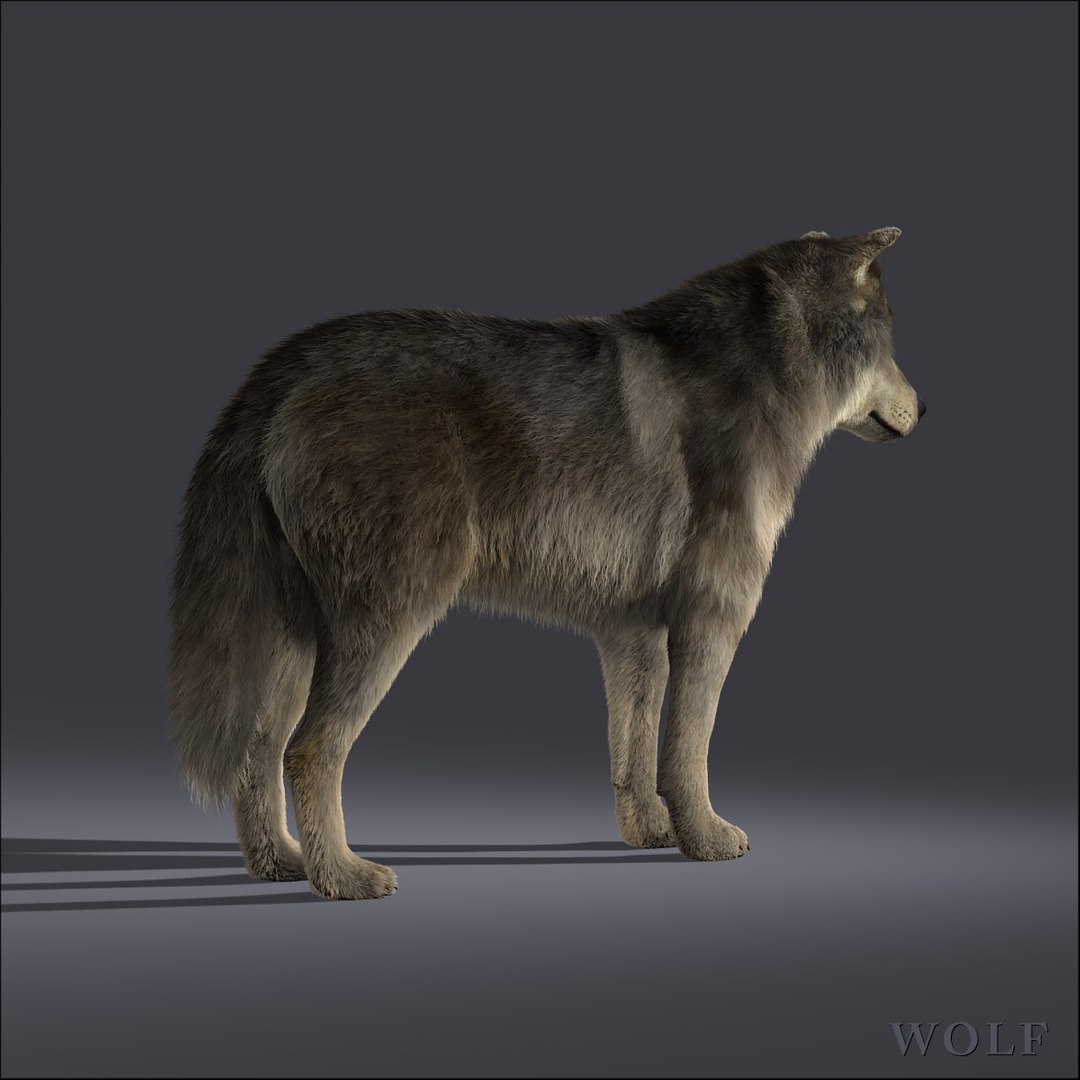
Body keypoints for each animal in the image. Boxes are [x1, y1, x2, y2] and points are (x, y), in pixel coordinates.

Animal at [169, 228, 924, 900]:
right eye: (889, 338)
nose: (925, 406)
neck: (758, 372)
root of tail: (288, 364)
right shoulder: (711, 616)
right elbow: (689, 747)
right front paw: (706, 837)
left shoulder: (632, 634)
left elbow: (633, 748)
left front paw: (650, 830)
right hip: (384, 621)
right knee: (310, 749)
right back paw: (344, 879)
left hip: (292, 635)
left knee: (258, 751)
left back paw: (281, 864)